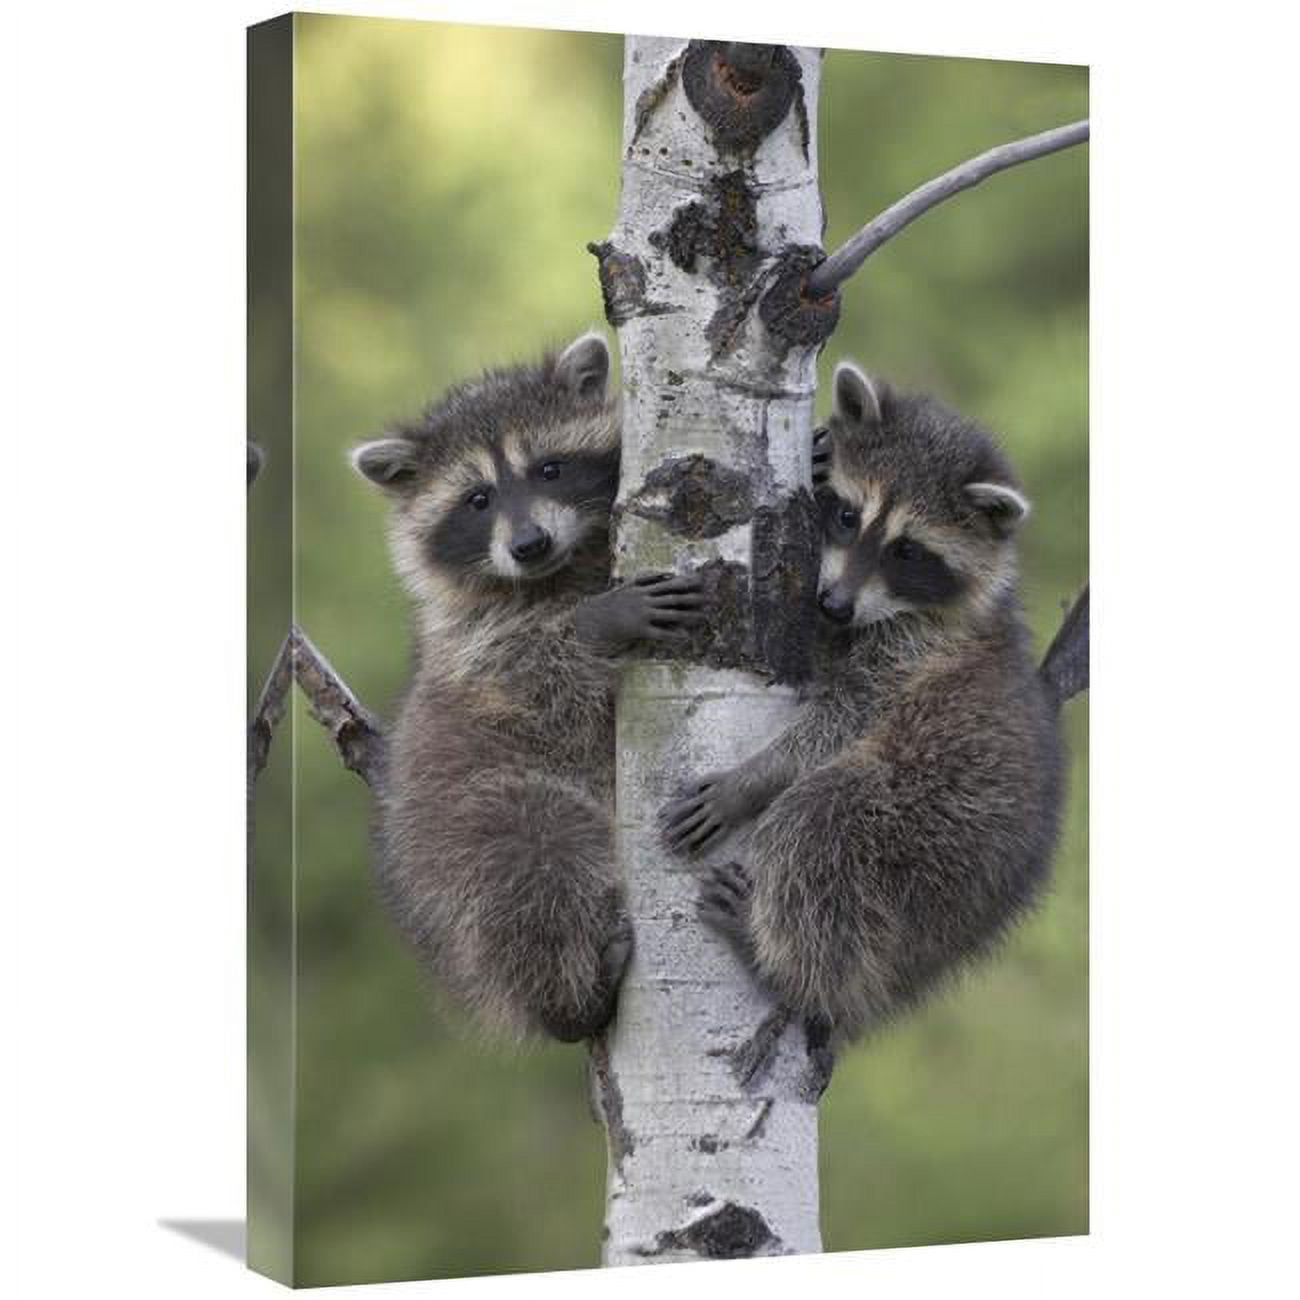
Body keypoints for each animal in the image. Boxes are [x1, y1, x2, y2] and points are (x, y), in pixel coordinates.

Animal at [353, 334, 705, 1042]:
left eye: (549, 469)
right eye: (477, 499)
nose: (529, 544)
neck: (560, 573)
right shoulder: (472, 647)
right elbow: (541, 681)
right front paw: (598, 623)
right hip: (477, 821)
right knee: (534, 868)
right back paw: (569, 1001)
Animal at [662, 361, 1064, 1042]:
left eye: (908, 551)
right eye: (848, 516)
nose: (833, 605)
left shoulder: (914, 656)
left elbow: (841, 719)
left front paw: (752, 777)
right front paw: (820, 448)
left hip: (935, 823)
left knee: (818, 824)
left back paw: (789, 967)